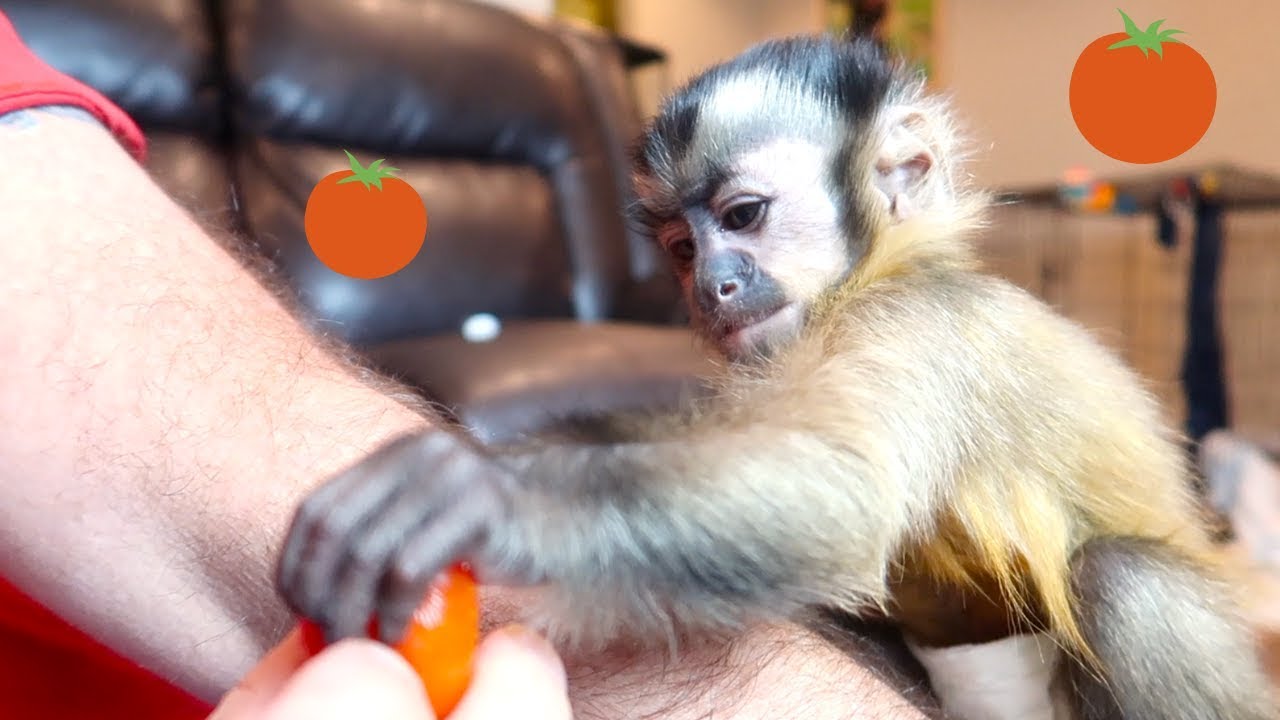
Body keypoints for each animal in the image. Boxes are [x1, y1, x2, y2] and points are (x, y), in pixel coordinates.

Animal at [275, 34, 1278, 720]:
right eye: (682, 251)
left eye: (743, 216)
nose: (712, 287)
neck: (876, 276)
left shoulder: (917, 326)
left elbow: (846, 491)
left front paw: (501, 494)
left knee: (1121, 578)